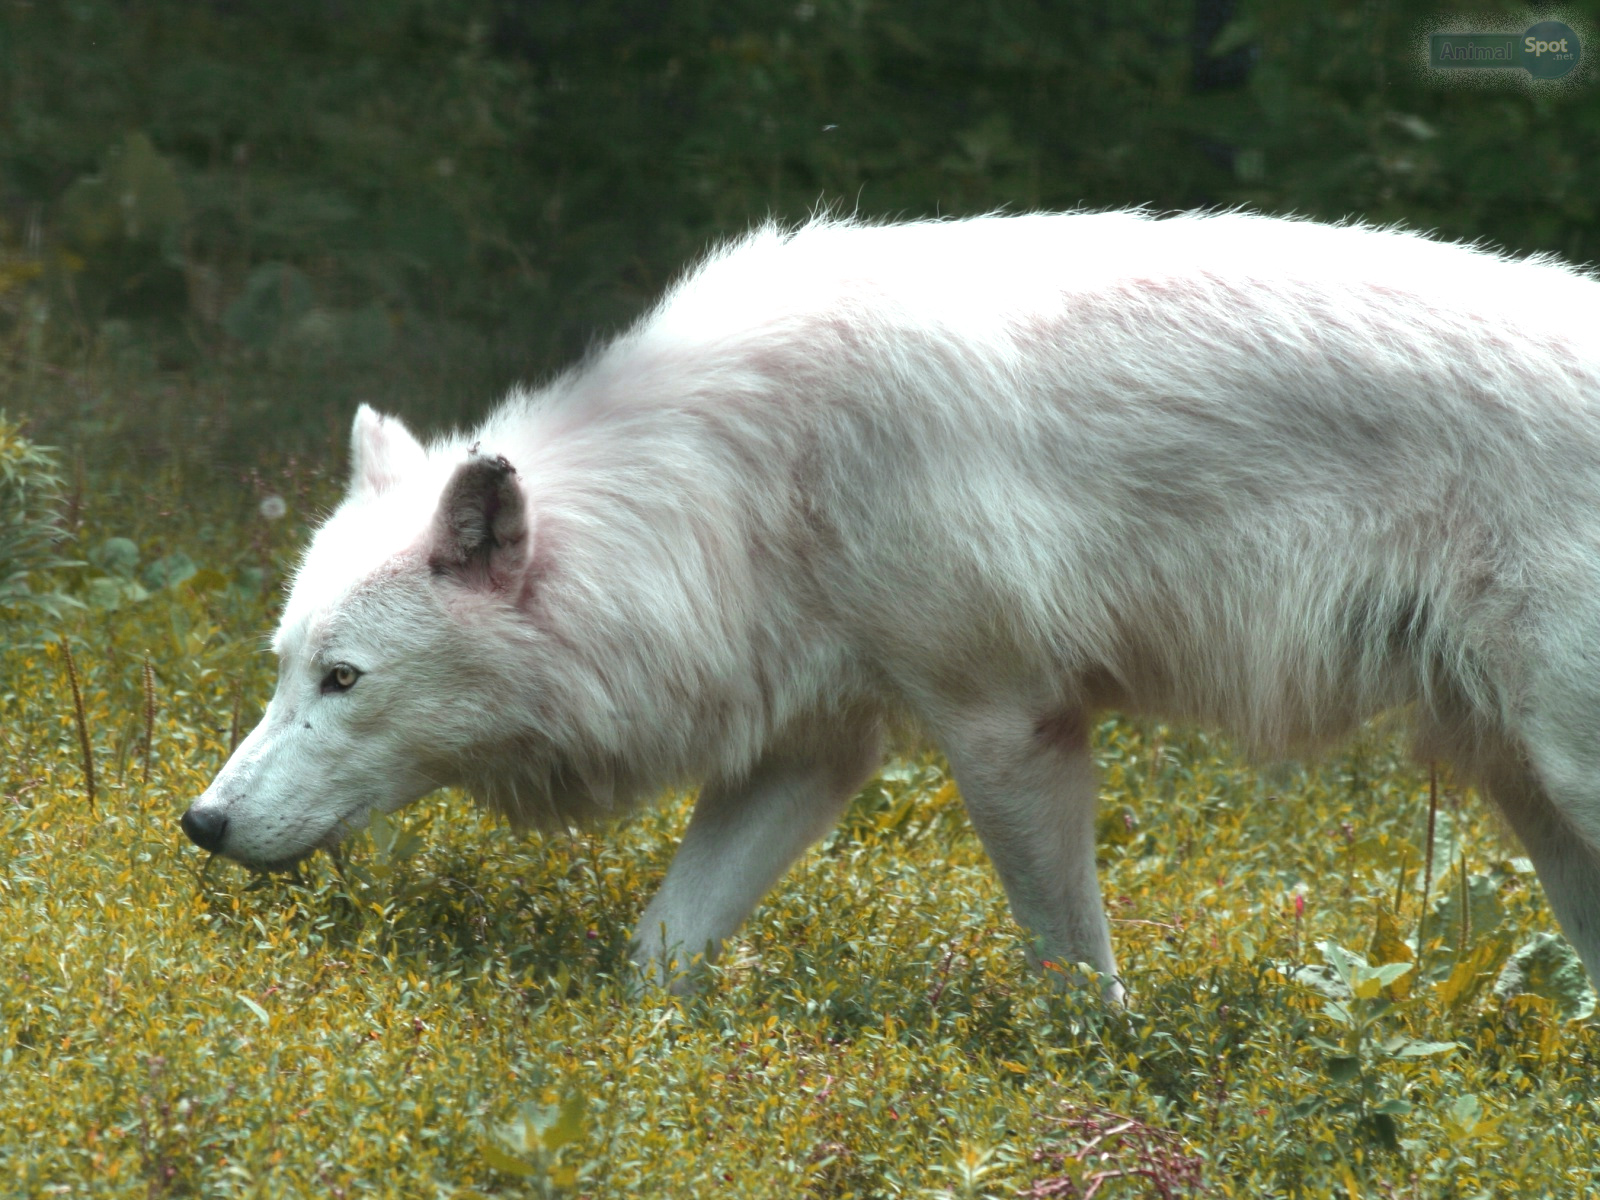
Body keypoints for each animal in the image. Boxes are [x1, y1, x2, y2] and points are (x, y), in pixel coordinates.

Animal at [183, 211, 1600, 1000]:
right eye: (283, 664)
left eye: (344, 681)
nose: (201, 822)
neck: (749, 487)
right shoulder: (813, 749)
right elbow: (658, 953)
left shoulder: (1005, 723)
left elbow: (1071, 969)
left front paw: (1101, 1082)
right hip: (1529, 796)